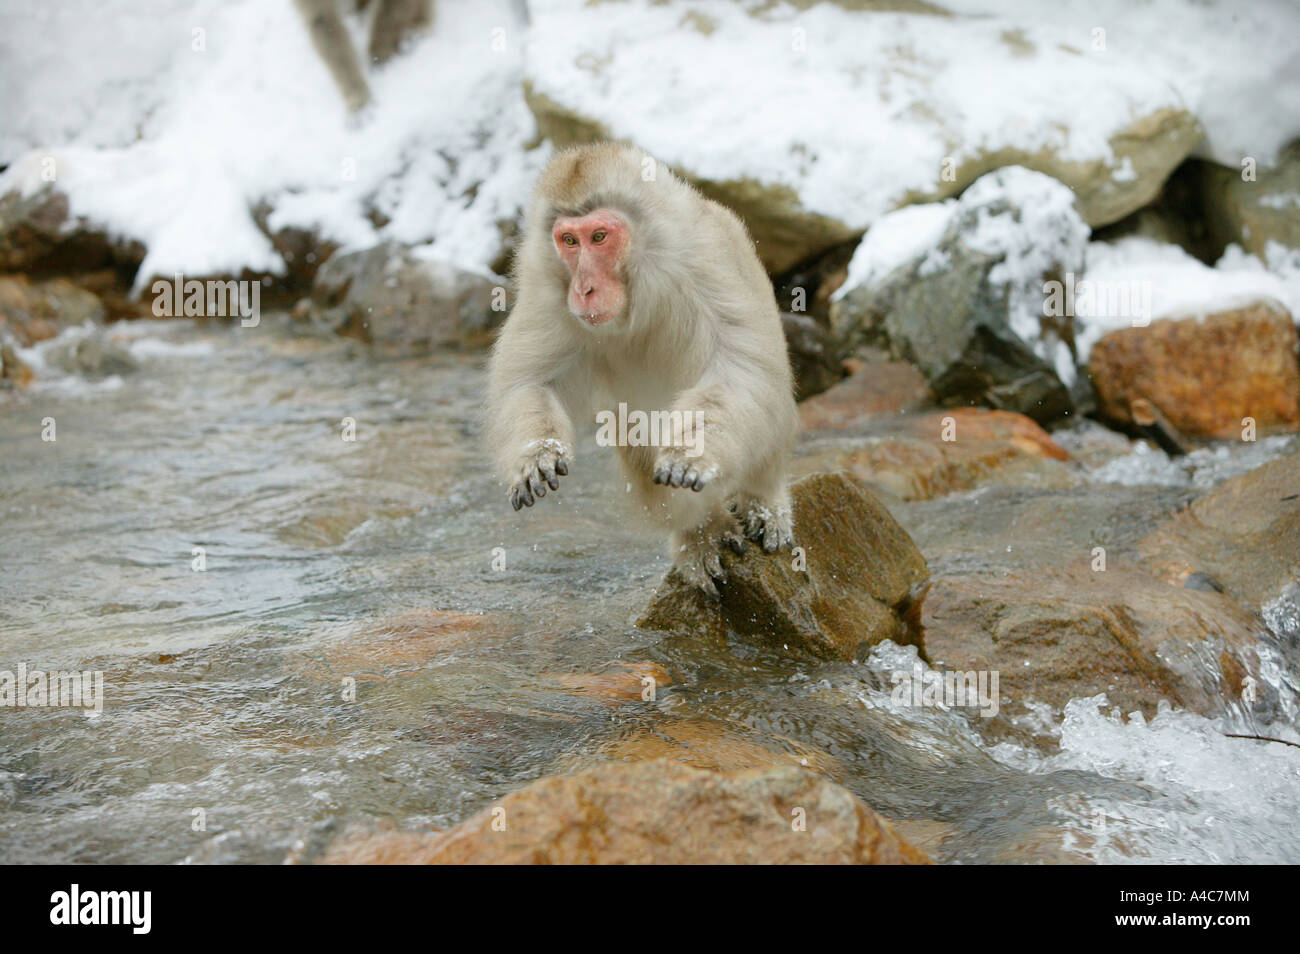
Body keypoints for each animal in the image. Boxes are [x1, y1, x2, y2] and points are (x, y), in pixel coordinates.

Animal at [487, 143, 799, 598]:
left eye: (599, 237)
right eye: (569, 240)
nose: (583, 289)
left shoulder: (707, 255)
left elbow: (738, 368)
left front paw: (689, 453)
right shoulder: (545, 282)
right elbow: (530, 382)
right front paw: (538, 454)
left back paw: (763, 502)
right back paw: (701, 531)